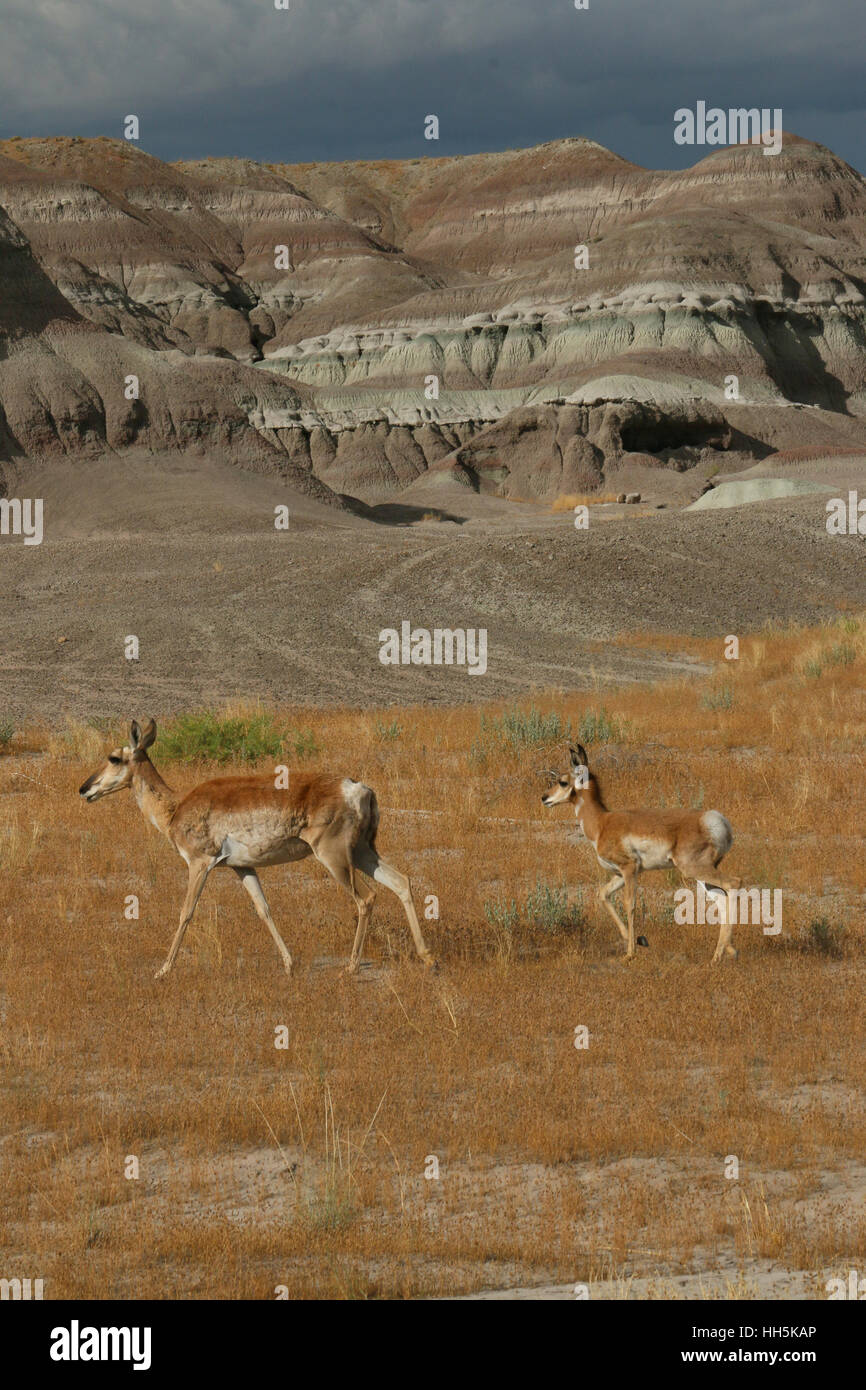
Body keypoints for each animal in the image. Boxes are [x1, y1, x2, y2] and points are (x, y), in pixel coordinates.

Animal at [79, 718, 435, 979]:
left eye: (114, 757)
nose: (84, 789)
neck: (176, 807)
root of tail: (357, 786)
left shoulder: (199, 864)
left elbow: (186, 912)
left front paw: (163, 971)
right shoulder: (242, 867)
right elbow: (264, 909)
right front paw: (290, 964)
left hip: (335, 858)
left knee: (367, 898)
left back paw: (350, 966)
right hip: (362, 853)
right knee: (402, 882)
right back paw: (428, 958)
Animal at [542, 744, 741, 963]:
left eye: (562, 781)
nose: (544, 798)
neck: (602, 823)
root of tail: (714, 820)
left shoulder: (629, 869)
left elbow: (630, 904)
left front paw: (629, 953)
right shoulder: (620, 874)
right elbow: (602, 894)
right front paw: (639, 940)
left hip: (694, 869)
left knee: (734, 883)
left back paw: (719, 955)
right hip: (702, 874)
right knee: (721, 899)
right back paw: (725, 952)